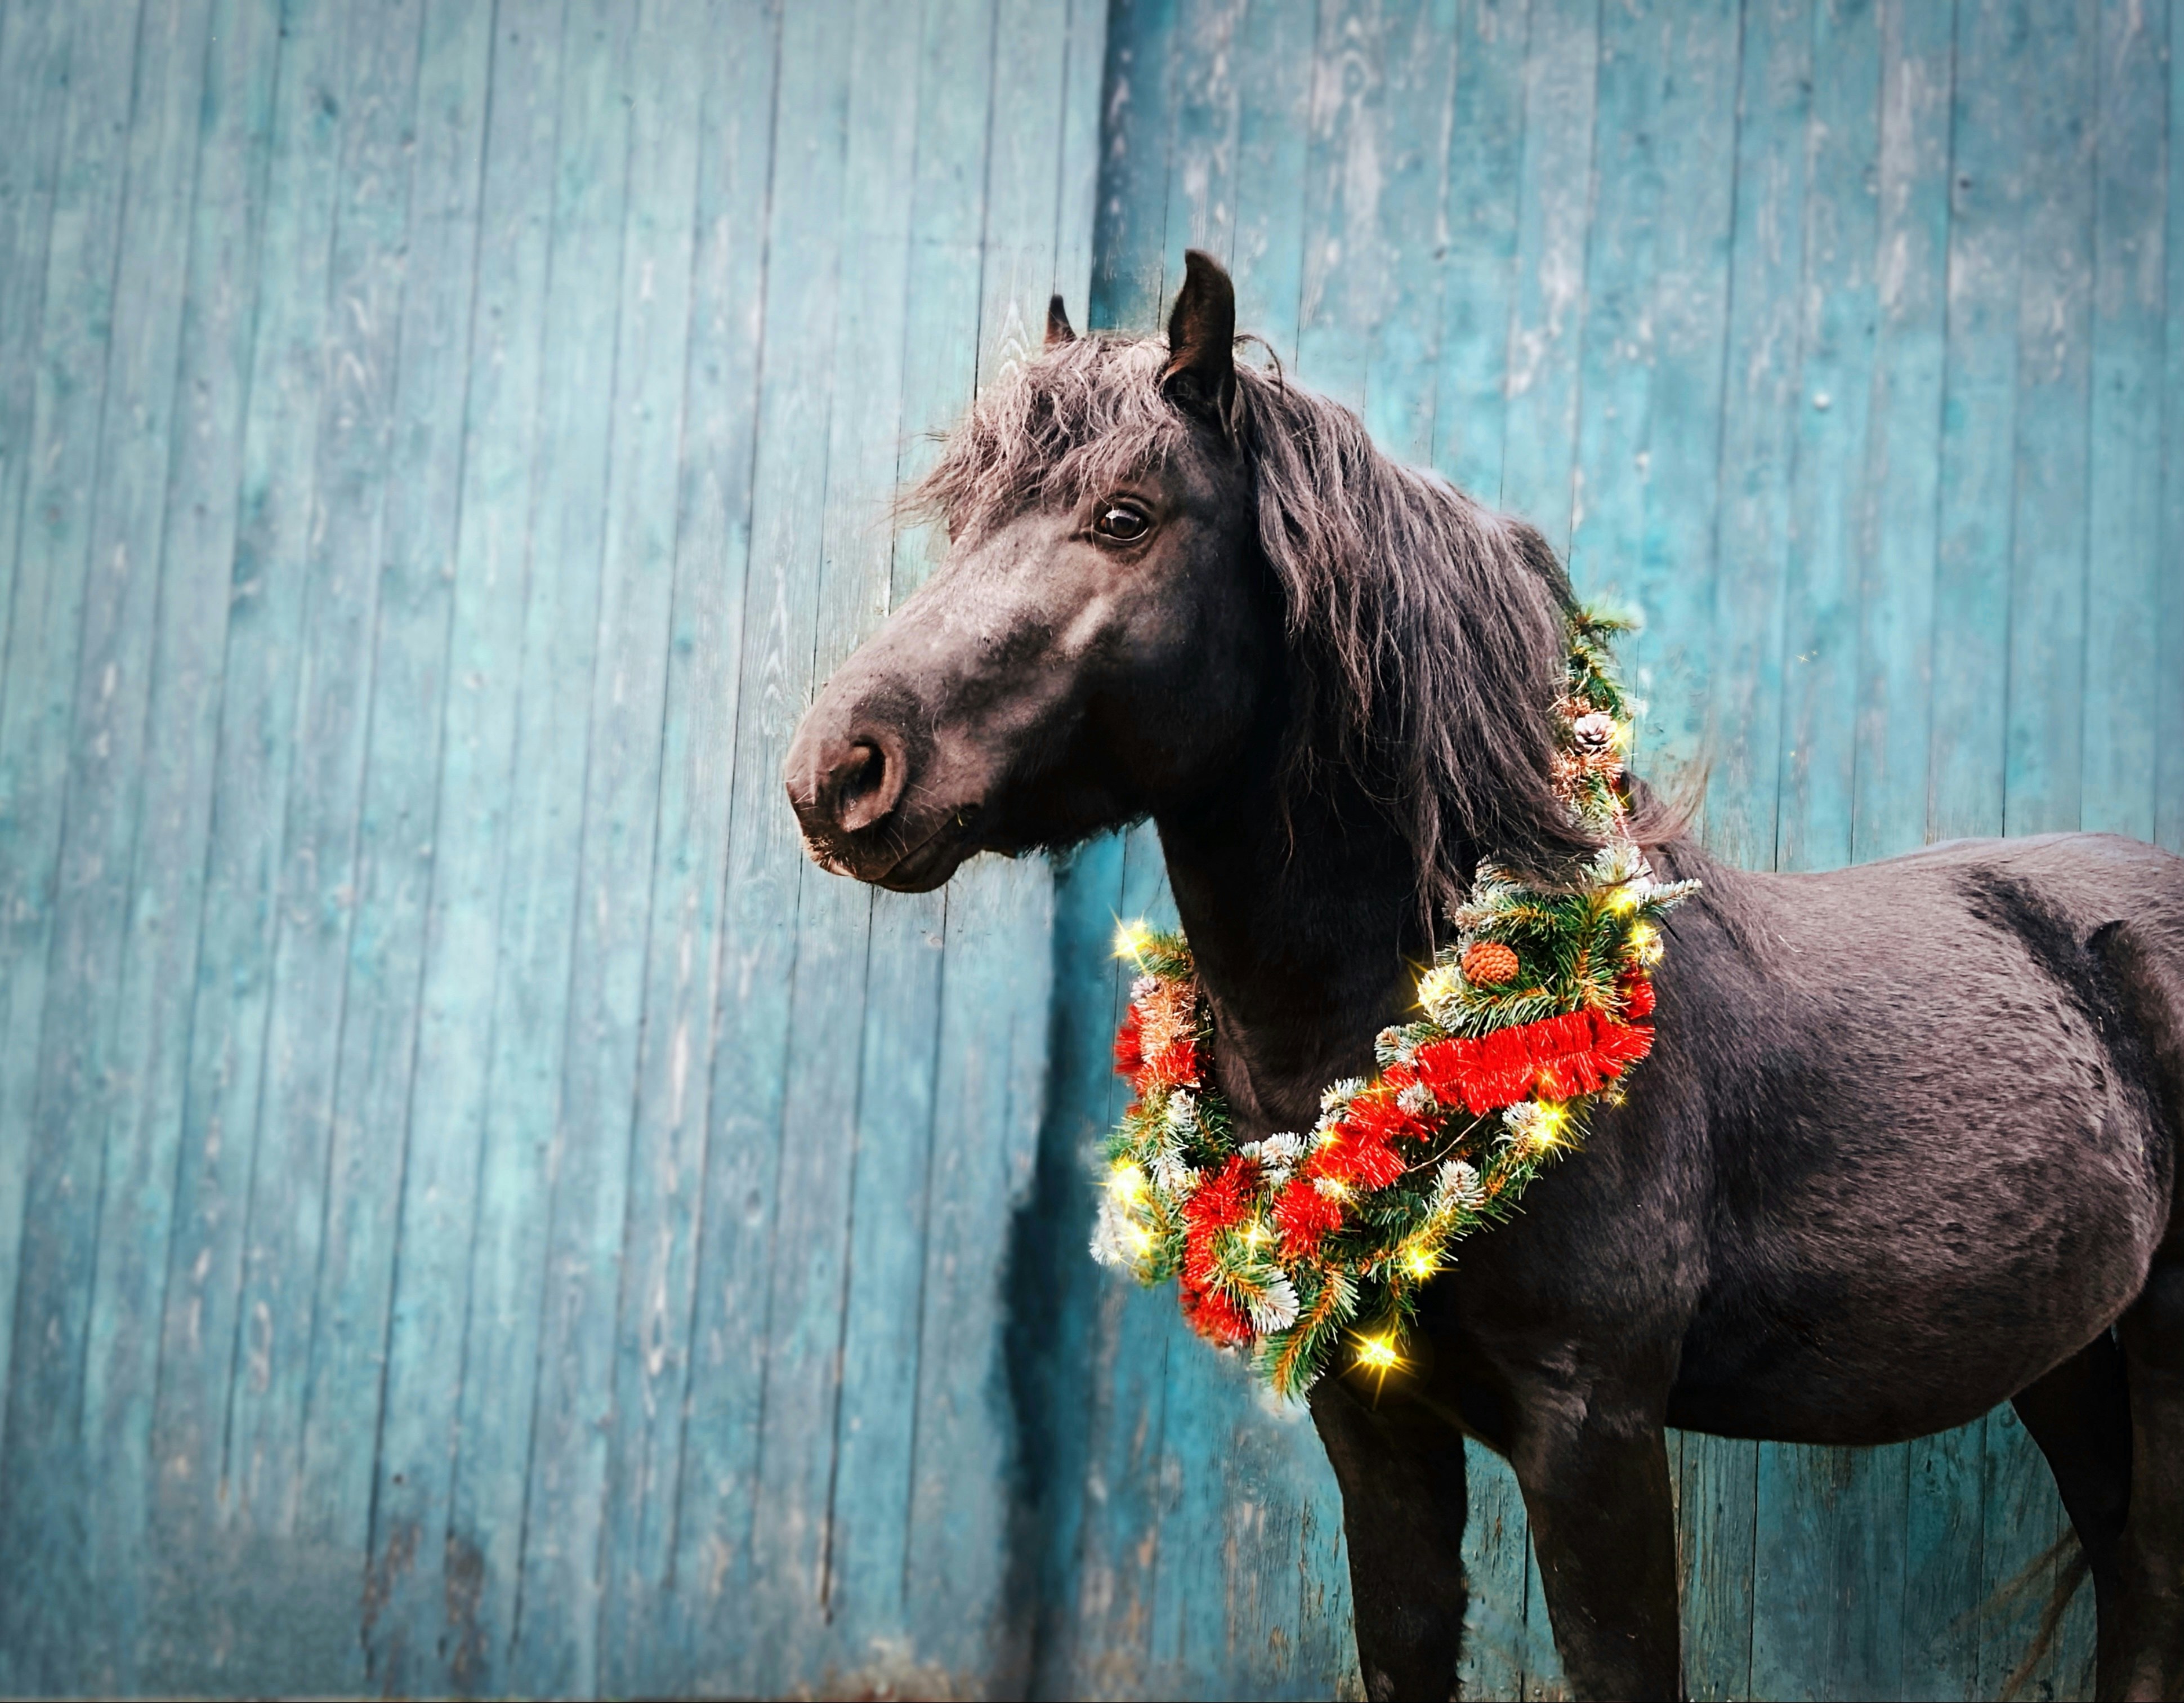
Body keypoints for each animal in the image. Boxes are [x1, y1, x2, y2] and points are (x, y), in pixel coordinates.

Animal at [783, 249, 2184, 1702]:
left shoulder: (1594, 1435)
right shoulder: (1375, 1420)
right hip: (2066, 1356)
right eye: (962, 523)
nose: (838, 771)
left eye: (1126, 515)